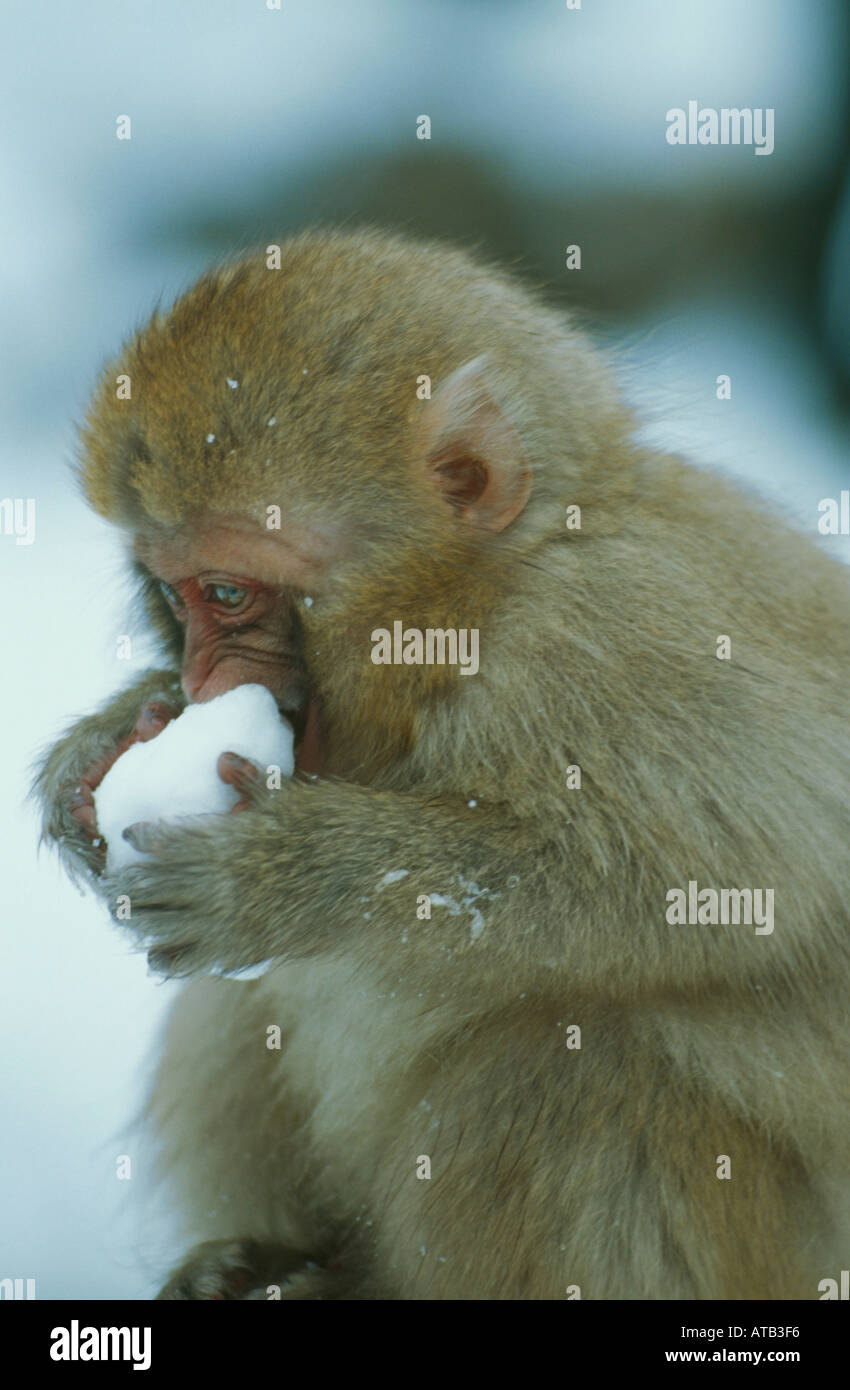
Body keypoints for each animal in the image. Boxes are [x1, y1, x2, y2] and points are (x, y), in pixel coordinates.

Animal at [34, 227, 850, 1300]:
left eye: (229, 593)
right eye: (173, 597)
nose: (202, 675)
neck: (480, 610)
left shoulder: (613, 645)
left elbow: (728, 886)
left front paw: (289, 877)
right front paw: (102, 742)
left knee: (581, 1066)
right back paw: (261, 1262)